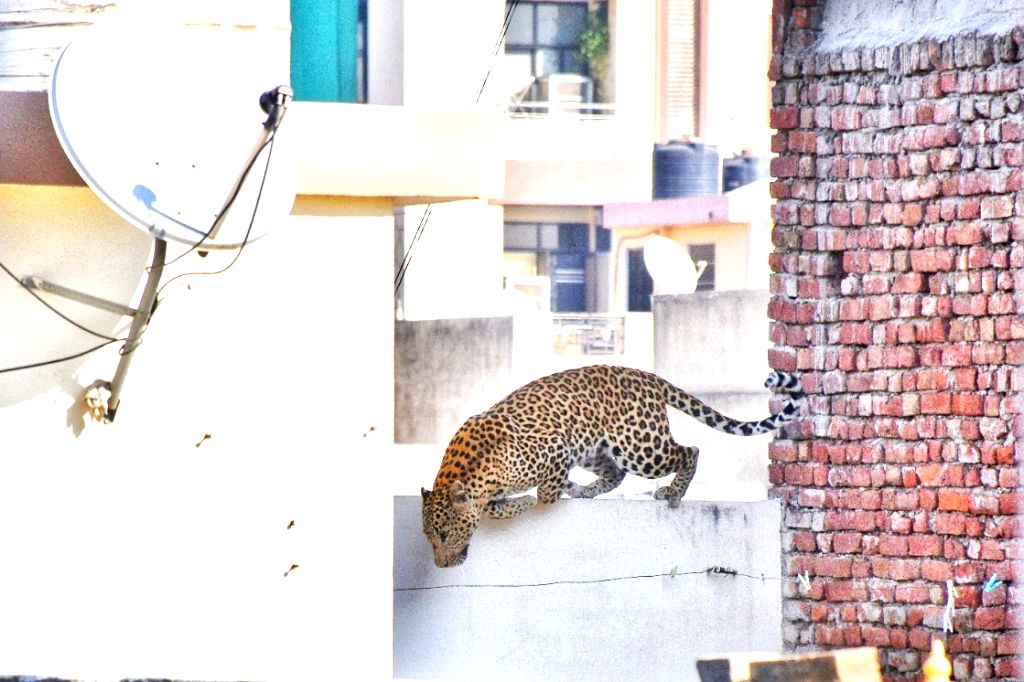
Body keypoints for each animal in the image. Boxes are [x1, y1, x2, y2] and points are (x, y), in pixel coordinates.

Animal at [420, 364, 804, 567]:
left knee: (689, 451)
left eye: (445, 535)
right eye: (430, 538)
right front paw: (520, 501)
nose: (440, 565)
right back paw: (585, 490)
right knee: (615, 474)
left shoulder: (556, 448)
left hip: (639, 447)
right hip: (596, 448)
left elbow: (544, 494)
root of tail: (647, 376)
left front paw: (533, 499)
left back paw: (673, 492)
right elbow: (491, 507)